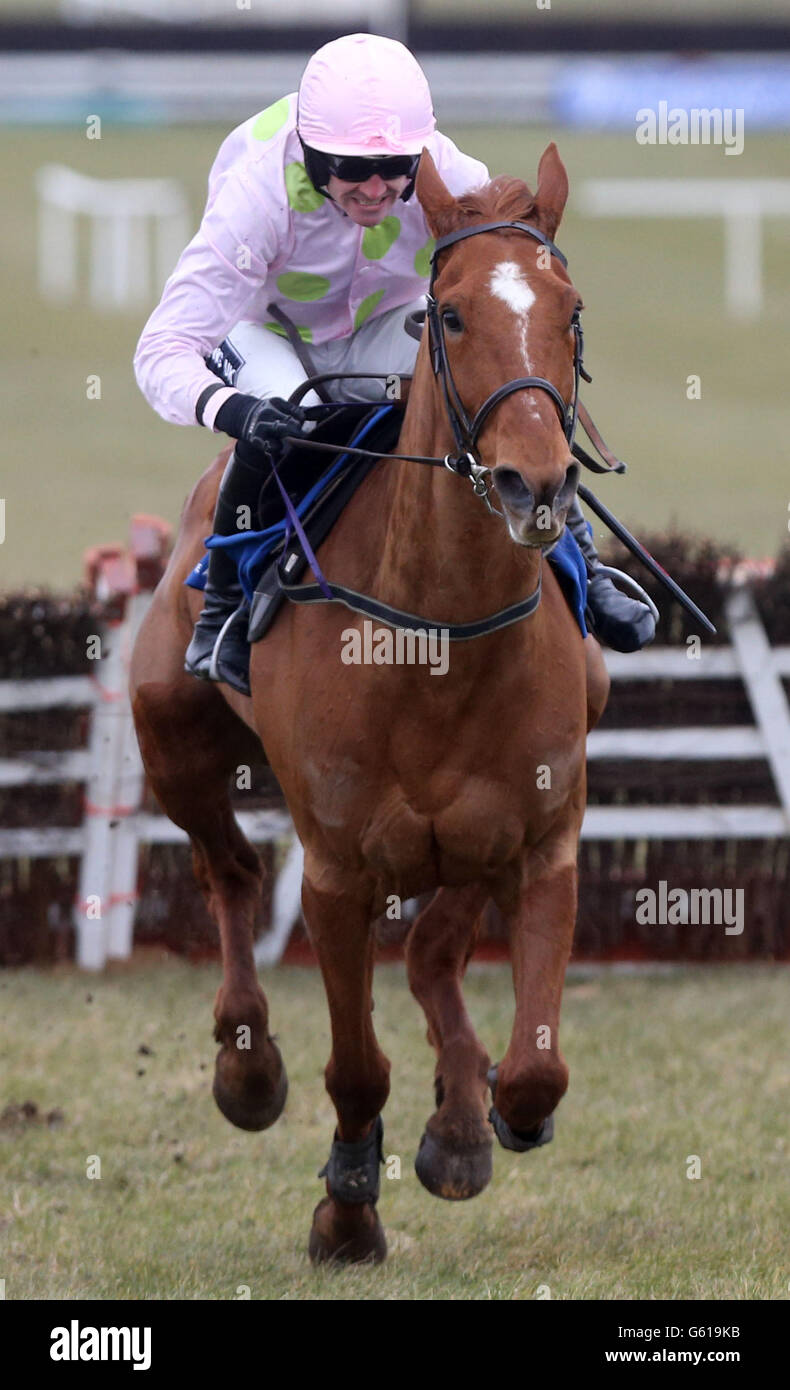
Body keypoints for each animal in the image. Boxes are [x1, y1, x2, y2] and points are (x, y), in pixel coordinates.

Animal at [130, 143, 610, 1264]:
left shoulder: (542, 838)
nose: (534, 483)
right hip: (169, 738)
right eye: (451, 314)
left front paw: (477, 1120)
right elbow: (354, 1068)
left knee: (434, 949)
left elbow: (537, 1069)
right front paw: (347, 1209)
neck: (436, 640)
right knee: (229, 870)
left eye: (569, 312)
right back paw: (248, 1066)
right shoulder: (339, 873)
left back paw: (462, 1120)